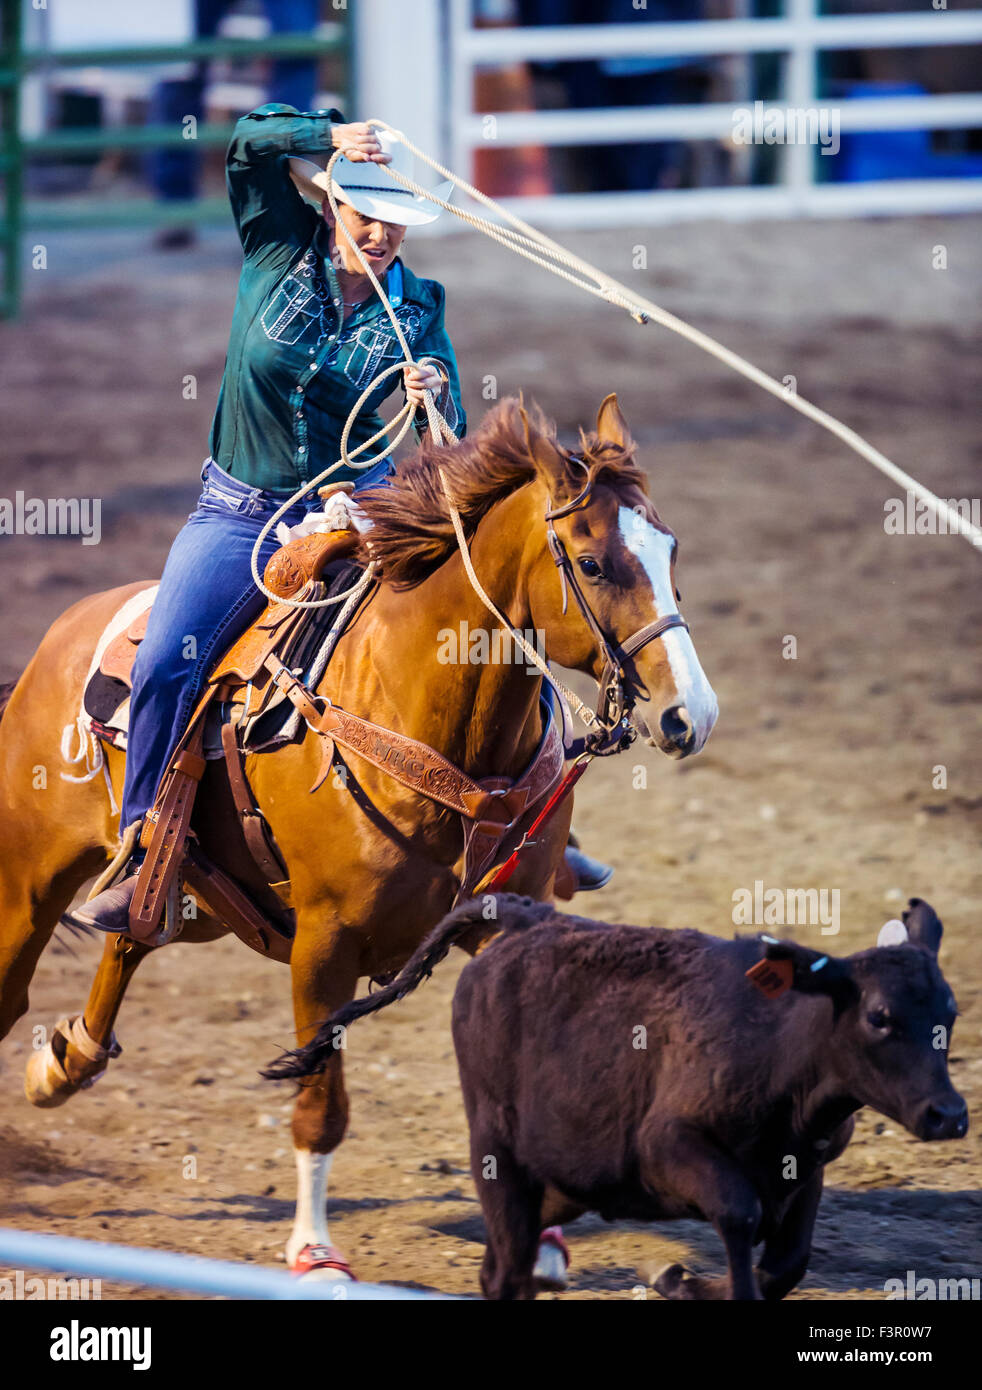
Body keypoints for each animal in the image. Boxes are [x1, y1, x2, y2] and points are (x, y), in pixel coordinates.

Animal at [310, 894, 968, 1300]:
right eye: (880, 1017)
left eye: (951, 1012)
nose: (950, 1115)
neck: (778, 1044)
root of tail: (530, 920)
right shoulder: (666, 1148)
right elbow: (740, 1213)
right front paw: (678, 1279)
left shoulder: (807, 1166)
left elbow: (787, 1262)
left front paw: (684, 1282)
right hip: (496, 1152)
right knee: (510, 1273)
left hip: (560, 1181)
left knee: (500, 1267)